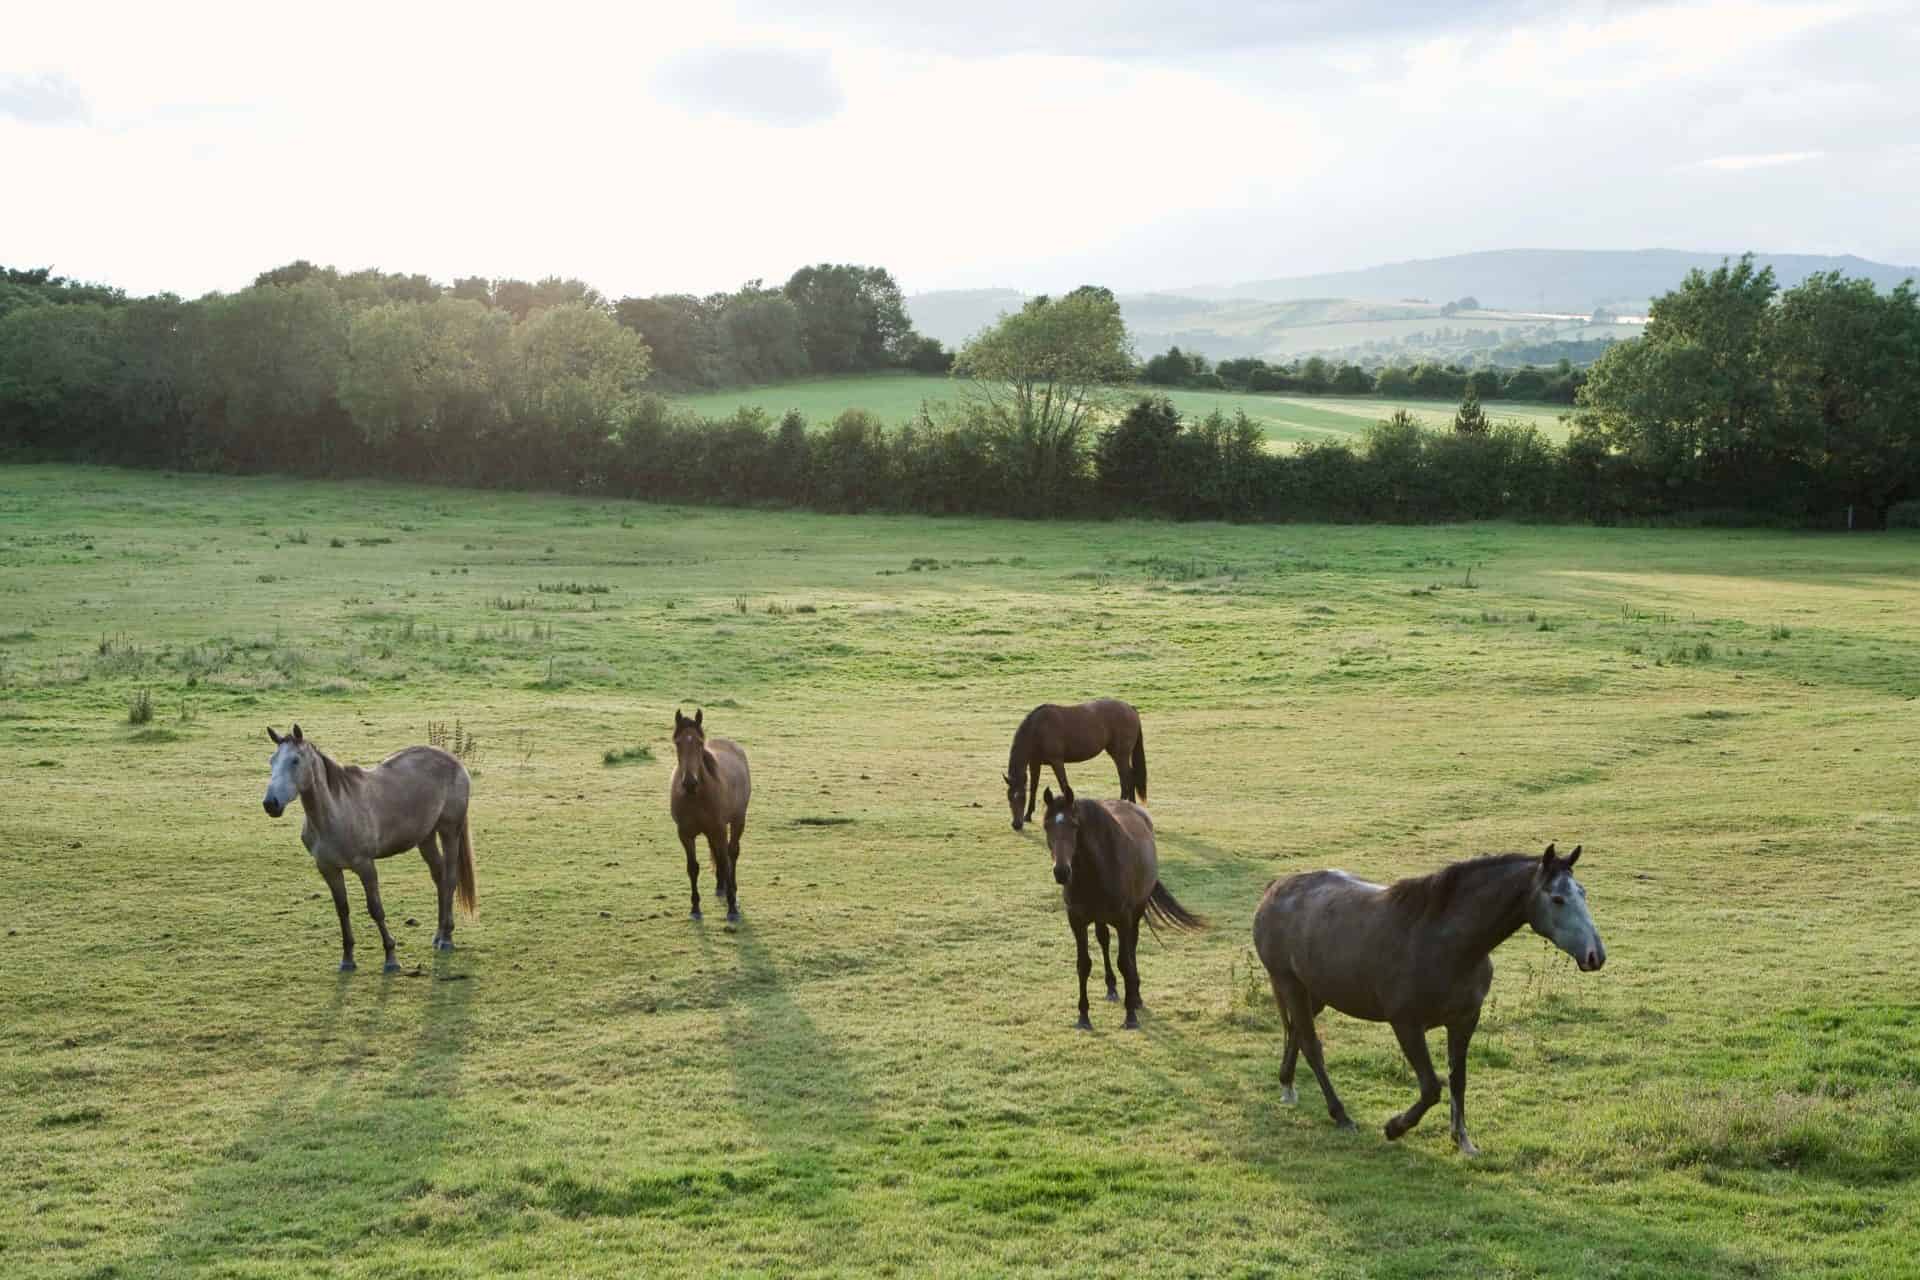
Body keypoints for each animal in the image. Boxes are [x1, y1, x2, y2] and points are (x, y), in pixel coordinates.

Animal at [261, 724, 476, 972]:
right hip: (426, 837)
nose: (270, 804)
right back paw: (438, 933)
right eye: (272, 761)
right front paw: (347, 959)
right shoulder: (328, 868)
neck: (335, 813)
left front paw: (391, 958)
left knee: (450, 879)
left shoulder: (365, 866)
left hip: (450, 830)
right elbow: (342, 910)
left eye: (295, 760)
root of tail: (453, 760)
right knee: (440, 878)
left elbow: (375, 909)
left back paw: (446, 938)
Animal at [669, 708, 752, 922]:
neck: (695, 796)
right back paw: (720, 886)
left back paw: (732, 888)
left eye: (699, 743)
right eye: (678, 743)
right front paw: (695, 908)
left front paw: (732, 908)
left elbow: (725, 860)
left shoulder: (720, 830)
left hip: (737, 821)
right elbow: (693, 867)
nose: (689, 782)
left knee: (732, 854)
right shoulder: (685, 834)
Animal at [1004, 699, 1147, 831]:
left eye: (1022, 797)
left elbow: (1064, 785)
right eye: (1009, 797)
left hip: (1120, 755)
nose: (1016, 825)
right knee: (1131, 776)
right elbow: (1034, 787)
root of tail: (1130, 708)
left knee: (1126, 779)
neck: (1038, 729)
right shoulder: (1035, 762)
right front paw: (1028, 815)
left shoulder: (1057, 762)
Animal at [1040, 786, 1203, 1030]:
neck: (1095, 870)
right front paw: (1083, 1017)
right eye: (1046, 825)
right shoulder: (1076, 920)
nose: (1061, 872)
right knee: (1104, 940)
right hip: (1100, 917)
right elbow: (1083, 965)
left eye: (1074, 825)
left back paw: (1135, 994)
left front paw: (1131, 1015)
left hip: (1135, 913)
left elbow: (1125, 962)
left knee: (1131, 946)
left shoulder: (1123, 919)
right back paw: (1111, 988)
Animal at [1252, 843, 1605, 1154]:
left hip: (1316, 993)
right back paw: (1340, 1115)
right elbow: (1432, 1087)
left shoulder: (1464, 1020)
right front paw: (1394, 1127)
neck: (1442, 942)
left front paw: (1462, 1139)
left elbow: (1458, 1079)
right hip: (1291, 985)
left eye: (1583, 893)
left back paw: (1287, 1085)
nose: (1596, 955)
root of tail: (1275, 890)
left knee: (1295, 1033)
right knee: (1312, 1046)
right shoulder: (1406, 1024)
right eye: (1558, 899)